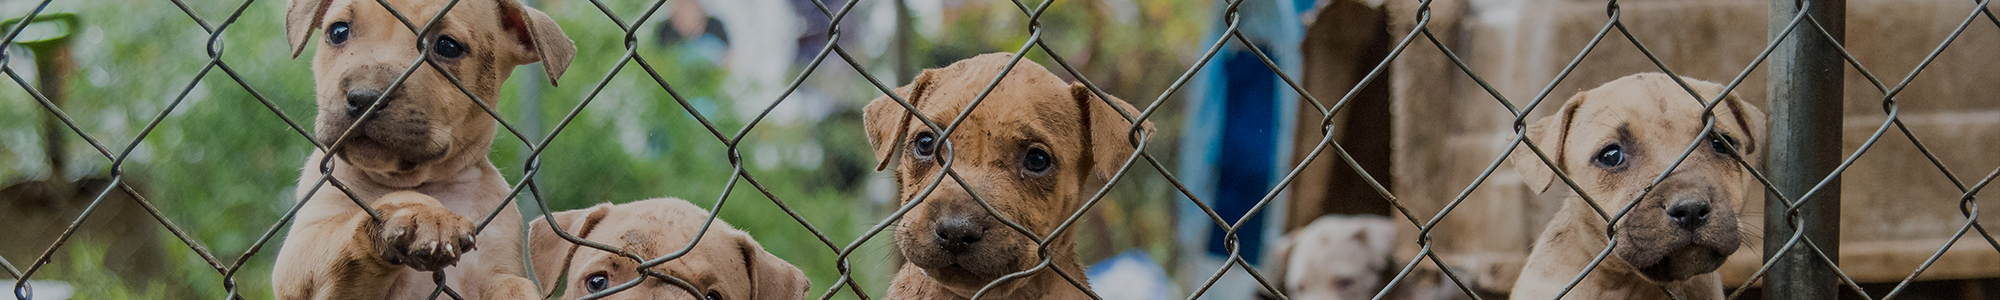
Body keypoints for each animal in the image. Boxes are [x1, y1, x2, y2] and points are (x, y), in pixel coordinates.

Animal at [270, 0, 576, 298]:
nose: (365, 98)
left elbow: (514, 285)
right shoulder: (302, 252)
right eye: (338, 31)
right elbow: (353, 222)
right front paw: (425, 214)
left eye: (448, 47)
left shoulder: (499, 267)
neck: (427, 181)